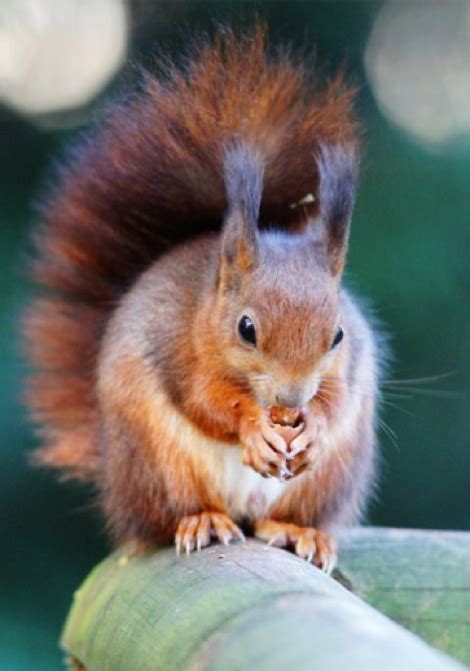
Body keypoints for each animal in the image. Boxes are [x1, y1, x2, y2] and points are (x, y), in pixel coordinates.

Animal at [24, 27, 378, 573]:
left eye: (337, 334)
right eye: (246, 329)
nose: (290, 402)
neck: (208, 307)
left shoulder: (349, 365)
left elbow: (336, 400)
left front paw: (313, 424)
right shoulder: (178, 348)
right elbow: (204, 399)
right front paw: (254, 427)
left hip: (331, 477)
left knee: (282, 516)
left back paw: (297, 531)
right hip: (159, 464)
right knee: (175, 513)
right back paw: (204, 522)